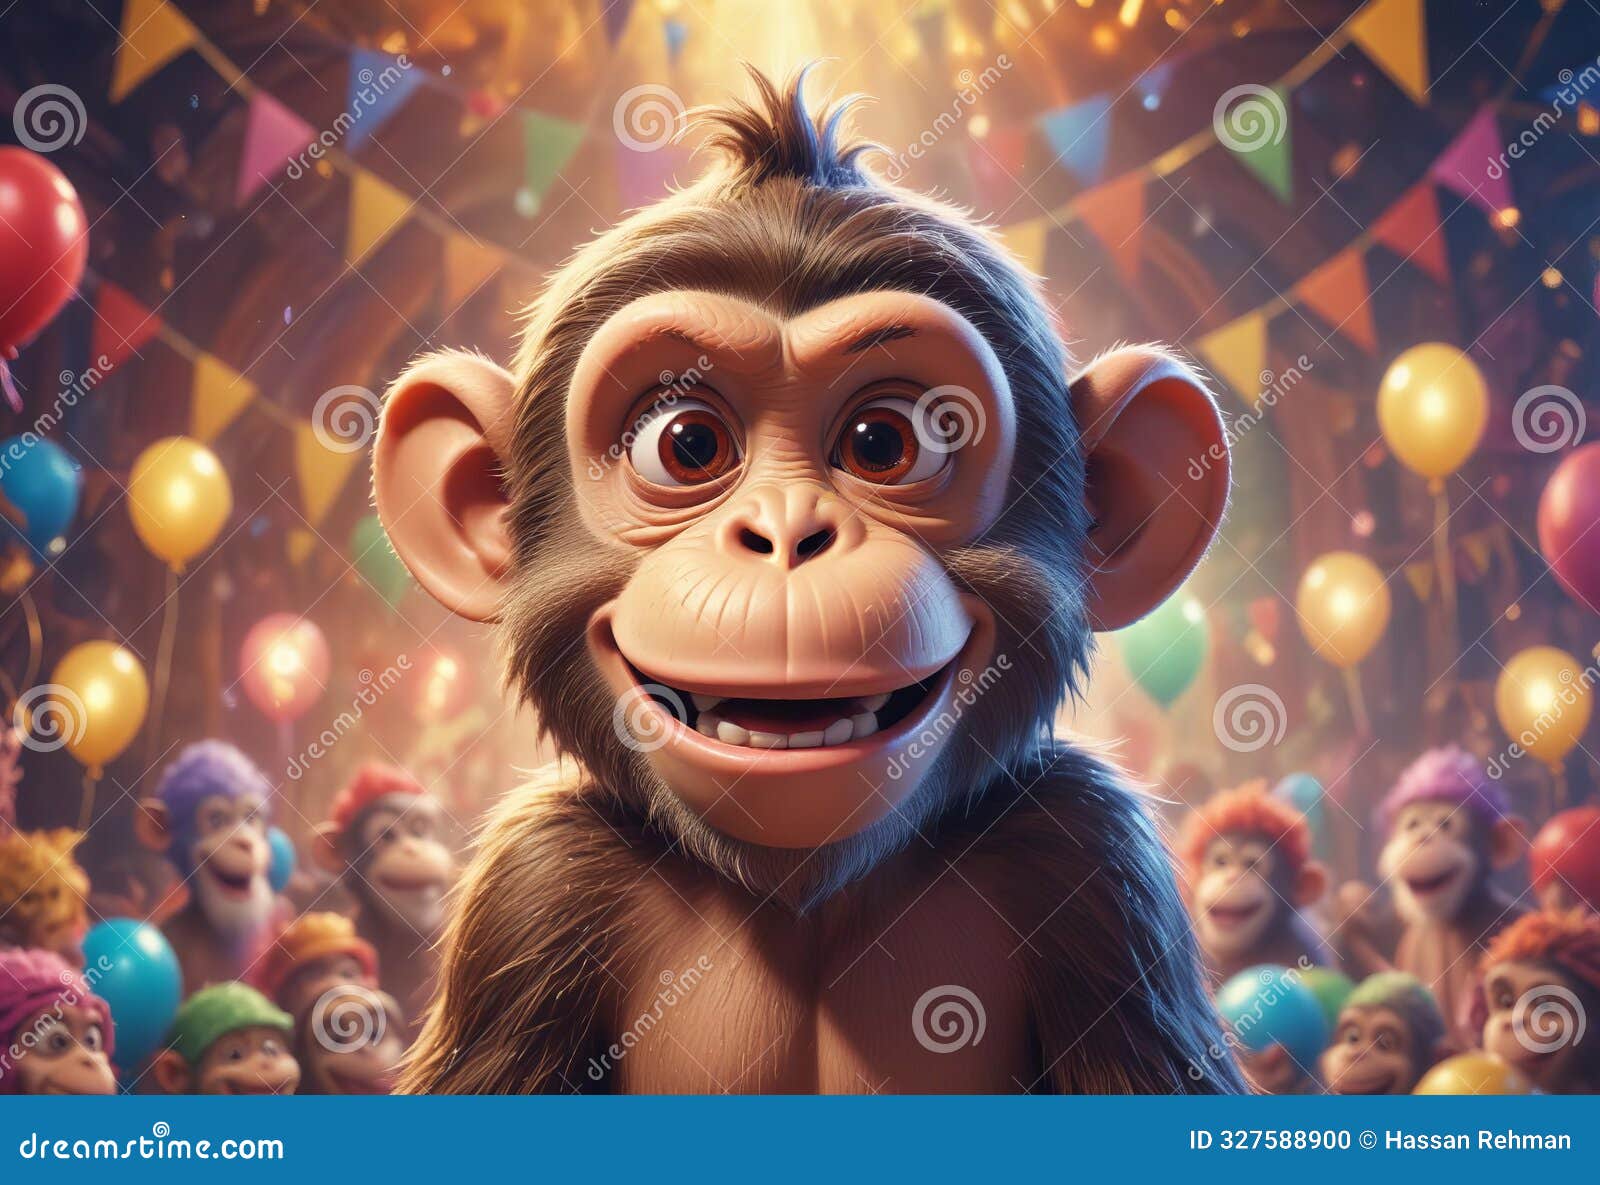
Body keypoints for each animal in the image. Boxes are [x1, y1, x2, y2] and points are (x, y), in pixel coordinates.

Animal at [1337, 746, 1527, 1044]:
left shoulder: (1508, 917)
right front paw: (1352, 910)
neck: (1450, 919)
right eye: (1413, 823)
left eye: (1445, 824)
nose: (1421, 837)